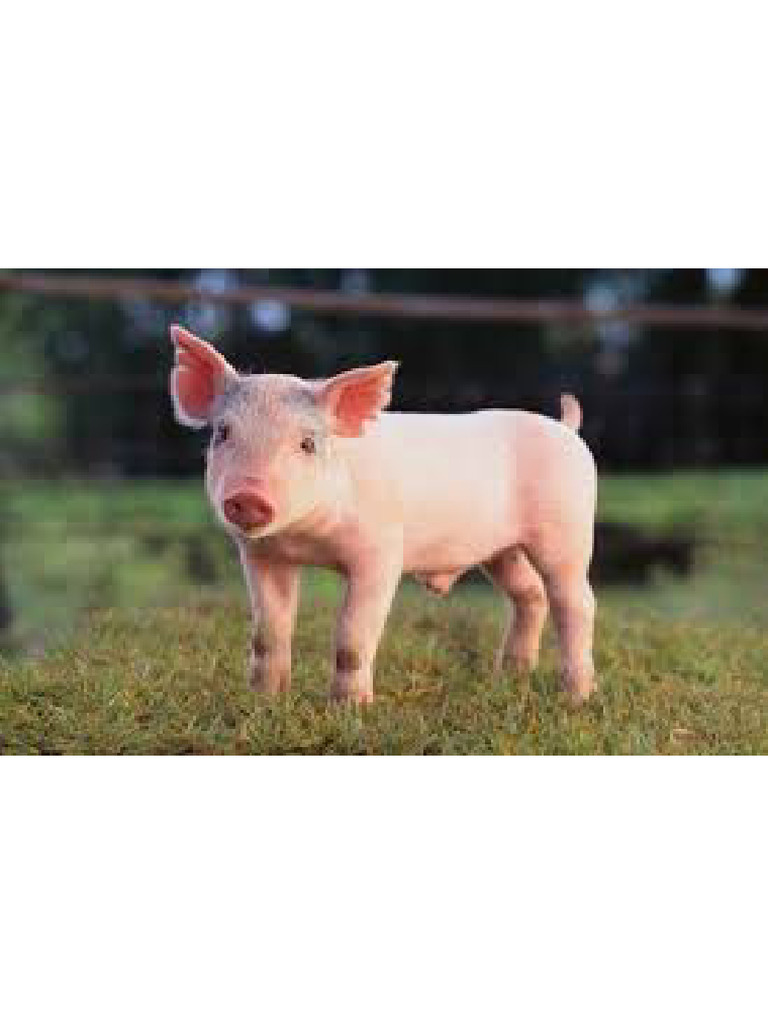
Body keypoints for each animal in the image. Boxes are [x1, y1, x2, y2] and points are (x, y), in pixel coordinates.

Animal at [169, 324, 598, 705]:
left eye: (307, 443)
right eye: (222, 433)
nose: (248, 496)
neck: (307, 537)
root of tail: (567, 430)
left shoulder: (380, 552)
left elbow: (352, 639)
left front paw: (351, 709)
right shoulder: (262, 555)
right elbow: (268, 633)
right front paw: (264, 702)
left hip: (567, 531)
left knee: (575, 602)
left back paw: (576, 698)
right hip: (501, 550)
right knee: (531, 594)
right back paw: (509, 678)